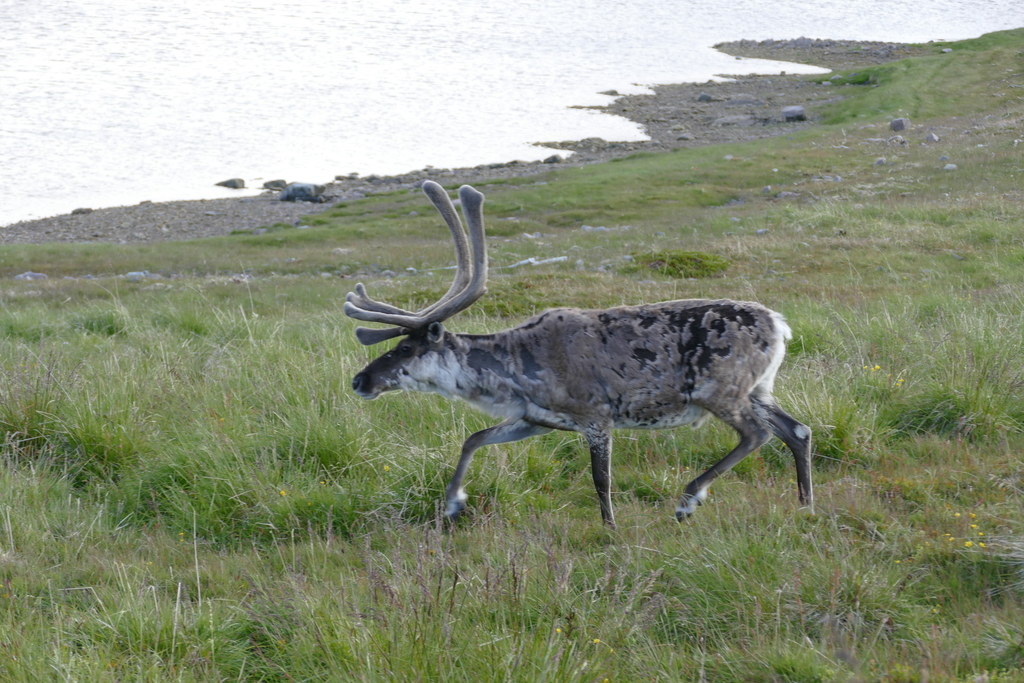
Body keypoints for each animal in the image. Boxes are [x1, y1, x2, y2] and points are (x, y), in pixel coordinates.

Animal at [344, 180, 812, 527]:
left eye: (406, 347)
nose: (359, 380)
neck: (514, 372)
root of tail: (779, 324)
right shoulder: (534, 420)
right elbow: (473, 438)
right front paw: (453, 503)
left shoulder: (596, 417)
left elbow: (600, 480)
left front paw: (611, 528)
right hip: (759, 389)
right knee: (798, 430)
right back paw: (805, 505)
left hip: (721, 391)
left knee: (757, 434)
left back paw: (688, 500)